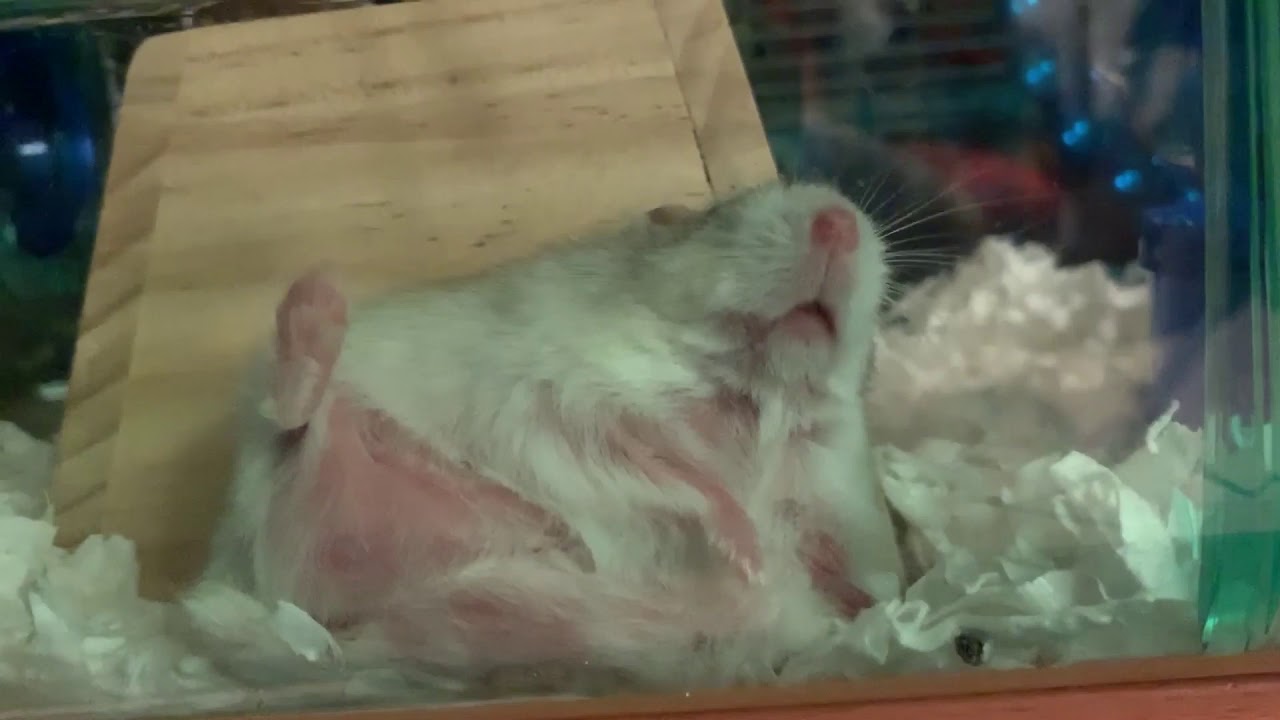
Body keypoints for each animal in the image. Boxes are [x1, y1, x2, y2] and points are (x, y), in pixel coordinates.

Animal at [199, 180, 905, 690]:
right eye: (717, 213)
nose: (839, 221)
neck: (752, 394)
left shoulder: (830, 489)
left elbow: (855, 571)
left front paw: (862, 608)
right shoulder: (576, 402)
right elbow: (680, 476)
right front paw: (749, 553)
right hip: (309, 467)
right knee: (297, 422)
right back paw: (316, 304)